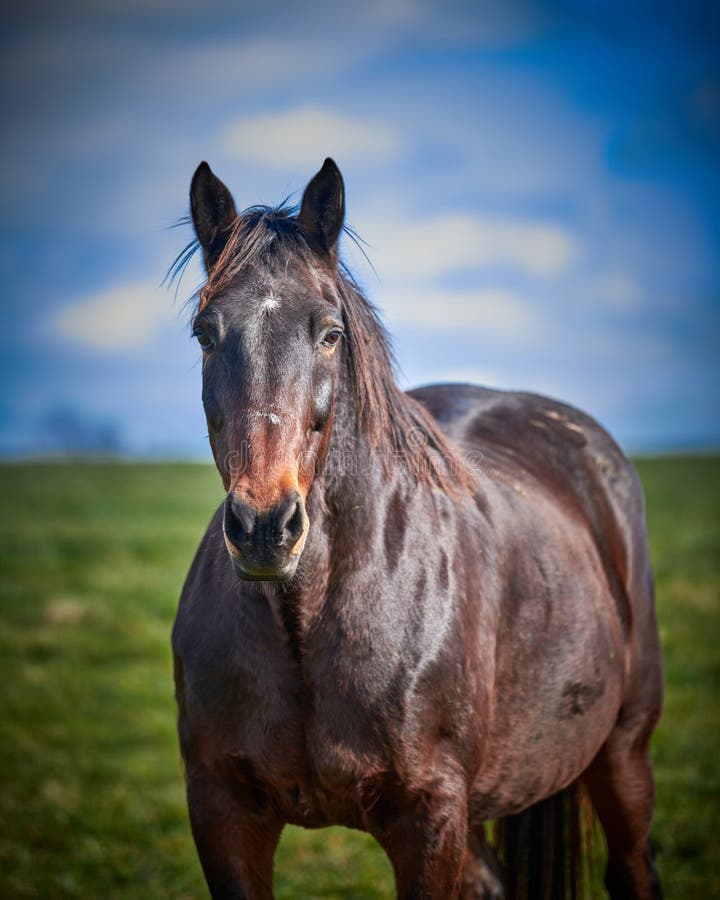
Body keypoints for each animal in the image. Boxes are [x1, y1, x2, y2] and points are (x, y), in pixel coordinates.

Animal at [171, 158, 664, 899]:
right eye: (206, 333)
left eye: (330, 332)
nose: (264, 527)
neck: (308, 620)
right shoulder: (223, 812)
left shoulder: (430, 819)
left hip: (622, 753)